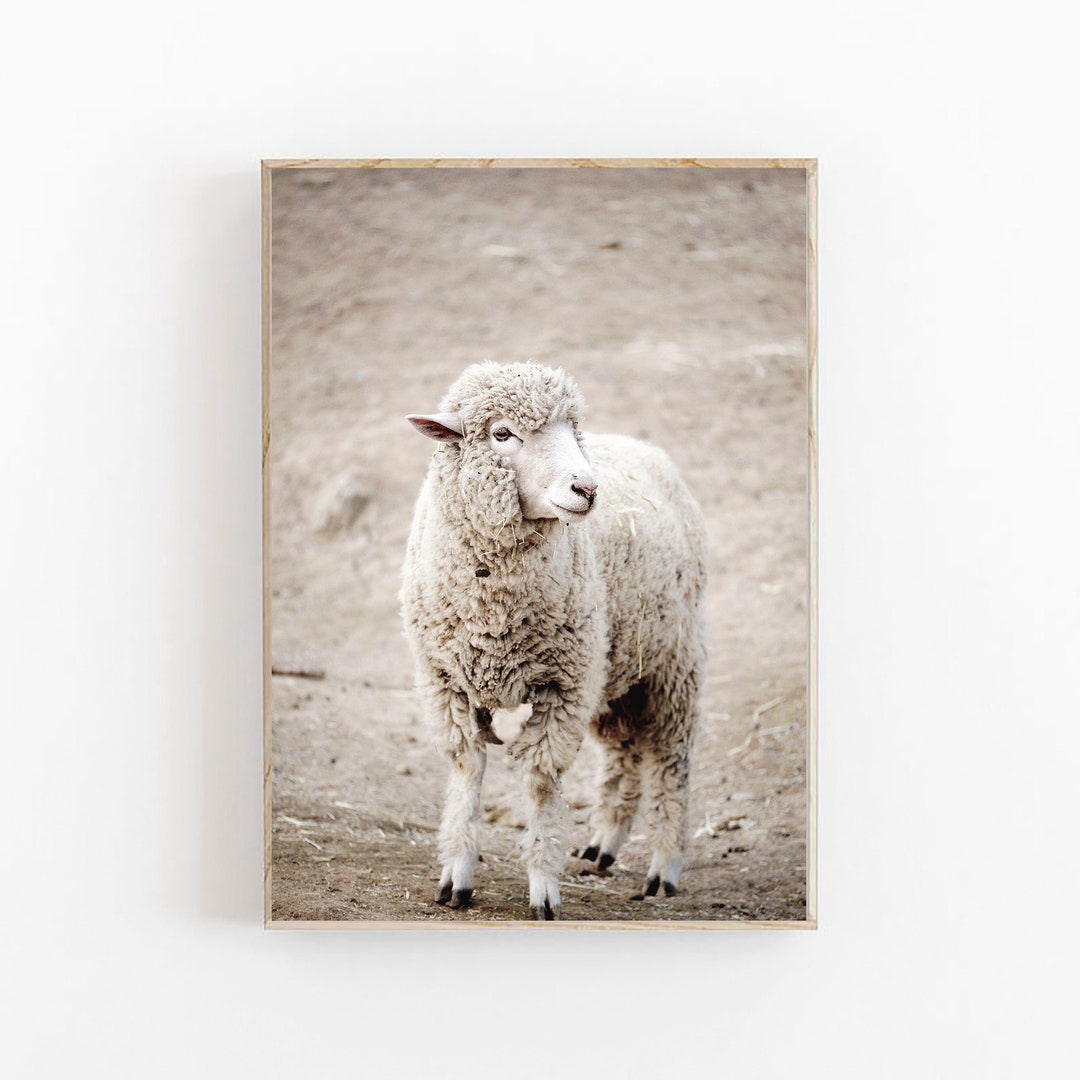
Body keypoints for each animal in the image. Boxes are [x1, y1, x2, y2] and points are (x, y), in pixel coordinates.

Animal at [401, 361, 707, 920]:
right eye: (502, 434)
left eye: (572, 431)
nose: (586, 488)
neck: (494, 615)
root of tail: (643, 445)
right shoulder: (445, 681)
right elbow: (466, 769)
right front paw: (456, 875)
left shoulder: (564, 687)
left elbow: (542, 784)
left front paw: (544, 887)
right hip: (614, 668)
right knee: (624, 751)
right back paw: (604, 842)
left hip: (673, 663)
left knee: (671, 760)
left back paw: (664, 868)